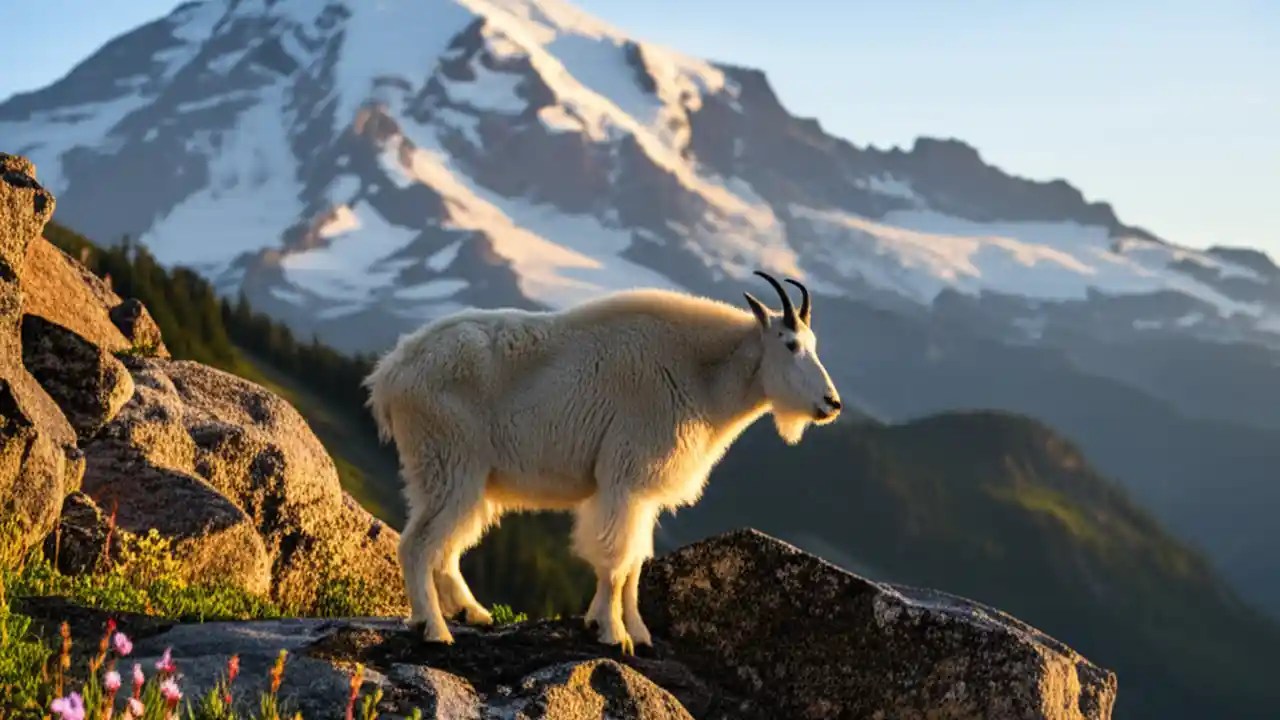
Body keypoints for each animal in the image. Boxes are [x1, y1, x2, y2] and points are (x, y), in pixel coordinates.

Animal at [365, 271, 842, 651]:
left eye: (815, 344)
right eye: (791, 344)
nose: (831, 403)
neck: (700, 373)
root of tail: (390, 374)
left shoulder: (643, 493)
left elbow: (635, 563)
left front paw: (635, 632)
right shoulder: (624, 478)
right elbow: (616, 558)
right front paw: (614, 635)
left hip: (465, 476)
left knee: (446, 545)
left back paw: (472, 614)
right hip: (449, 461)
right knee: (418, 543)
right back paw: (433, 629)